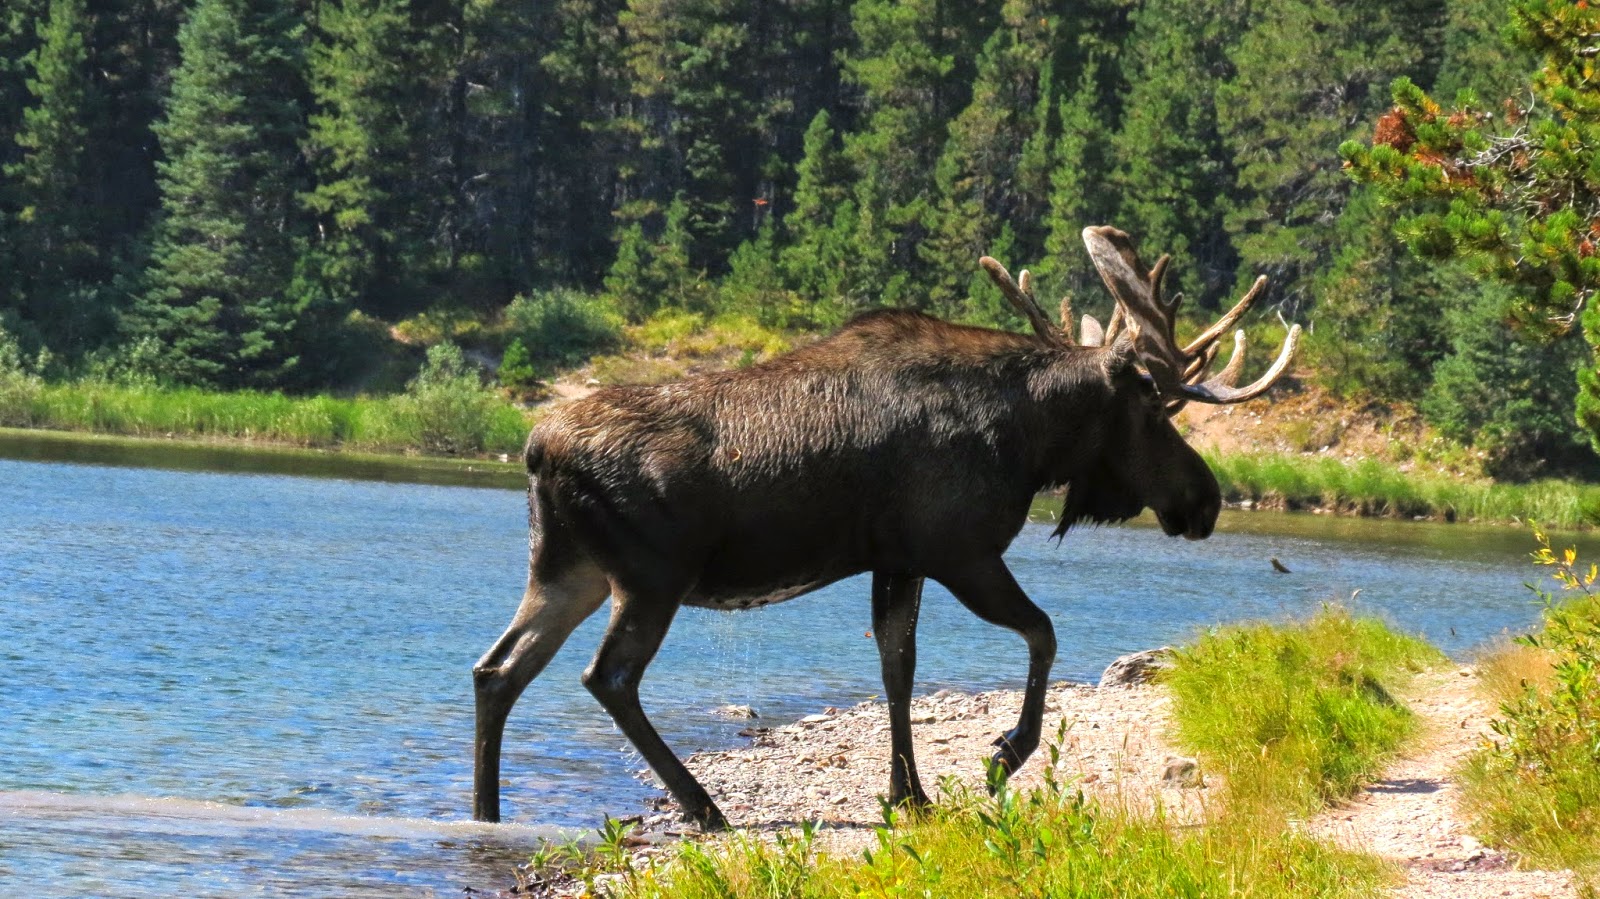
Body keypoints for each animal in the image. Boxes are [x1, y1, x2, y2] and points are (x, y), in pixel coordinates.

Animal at [471, 226, 1300, 830]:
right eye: (1155, 406)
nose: (1205, 500)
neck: (1031, 439)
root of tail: (537, 447)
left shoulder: (898, 559)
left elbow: (897, 668)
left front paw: (910, 793)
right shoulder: (960, 549)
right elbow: (1042, 633)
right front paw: (1003, 755)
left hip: (568, 570)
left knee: (498, 669)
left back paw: (487, 813)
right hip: (650, 577)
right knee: (605, 675)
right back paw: (706, 807)